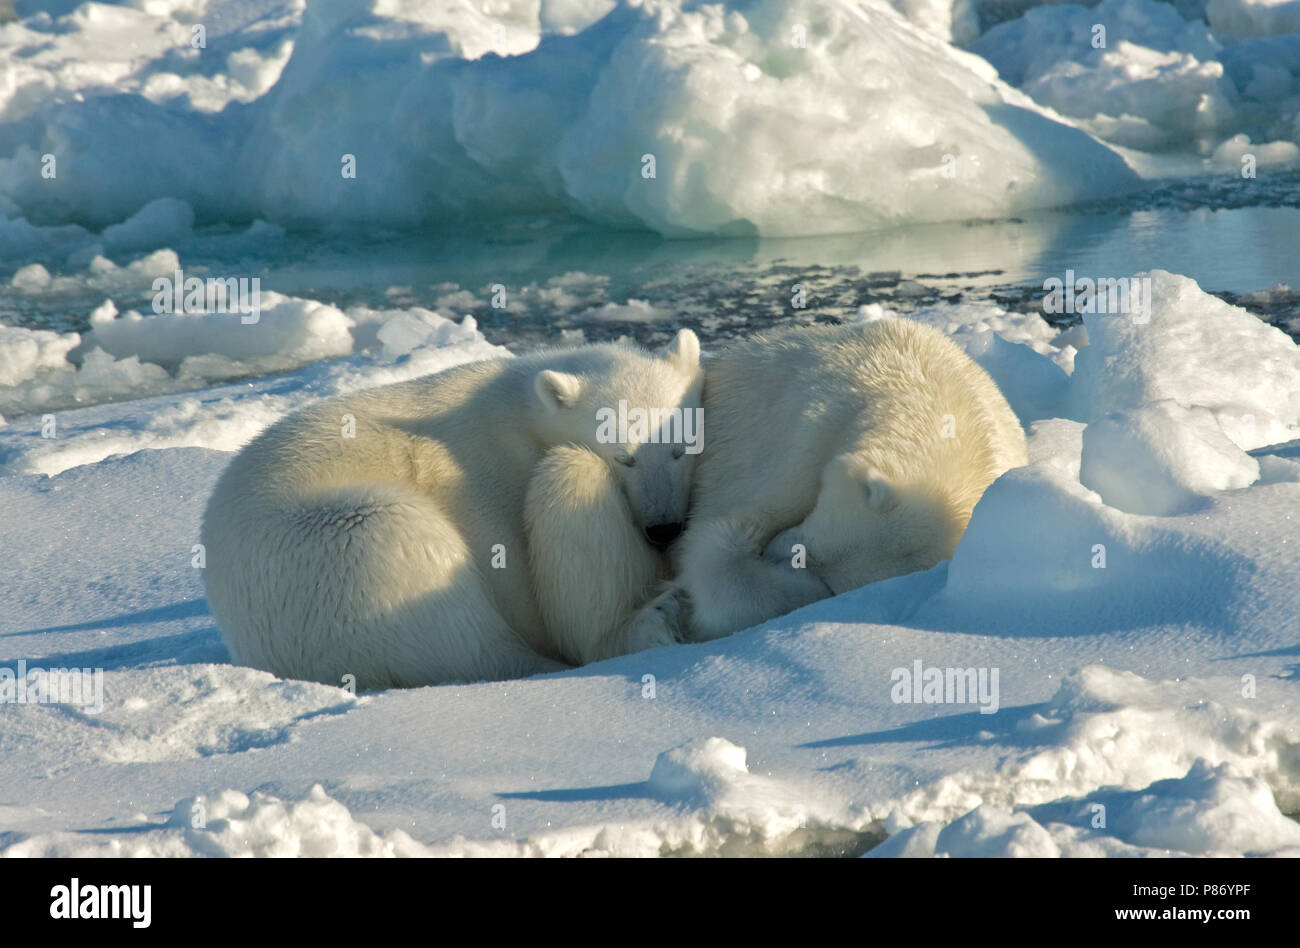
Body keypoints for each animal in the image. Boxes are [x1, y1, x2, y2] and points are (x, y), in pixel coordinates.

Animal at [200, 330, 703, 690]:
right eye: (624, 457)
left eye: (681, 448)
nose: (663, 528)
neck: (522, 409)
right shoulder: (486, 476)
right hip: (336, 553)